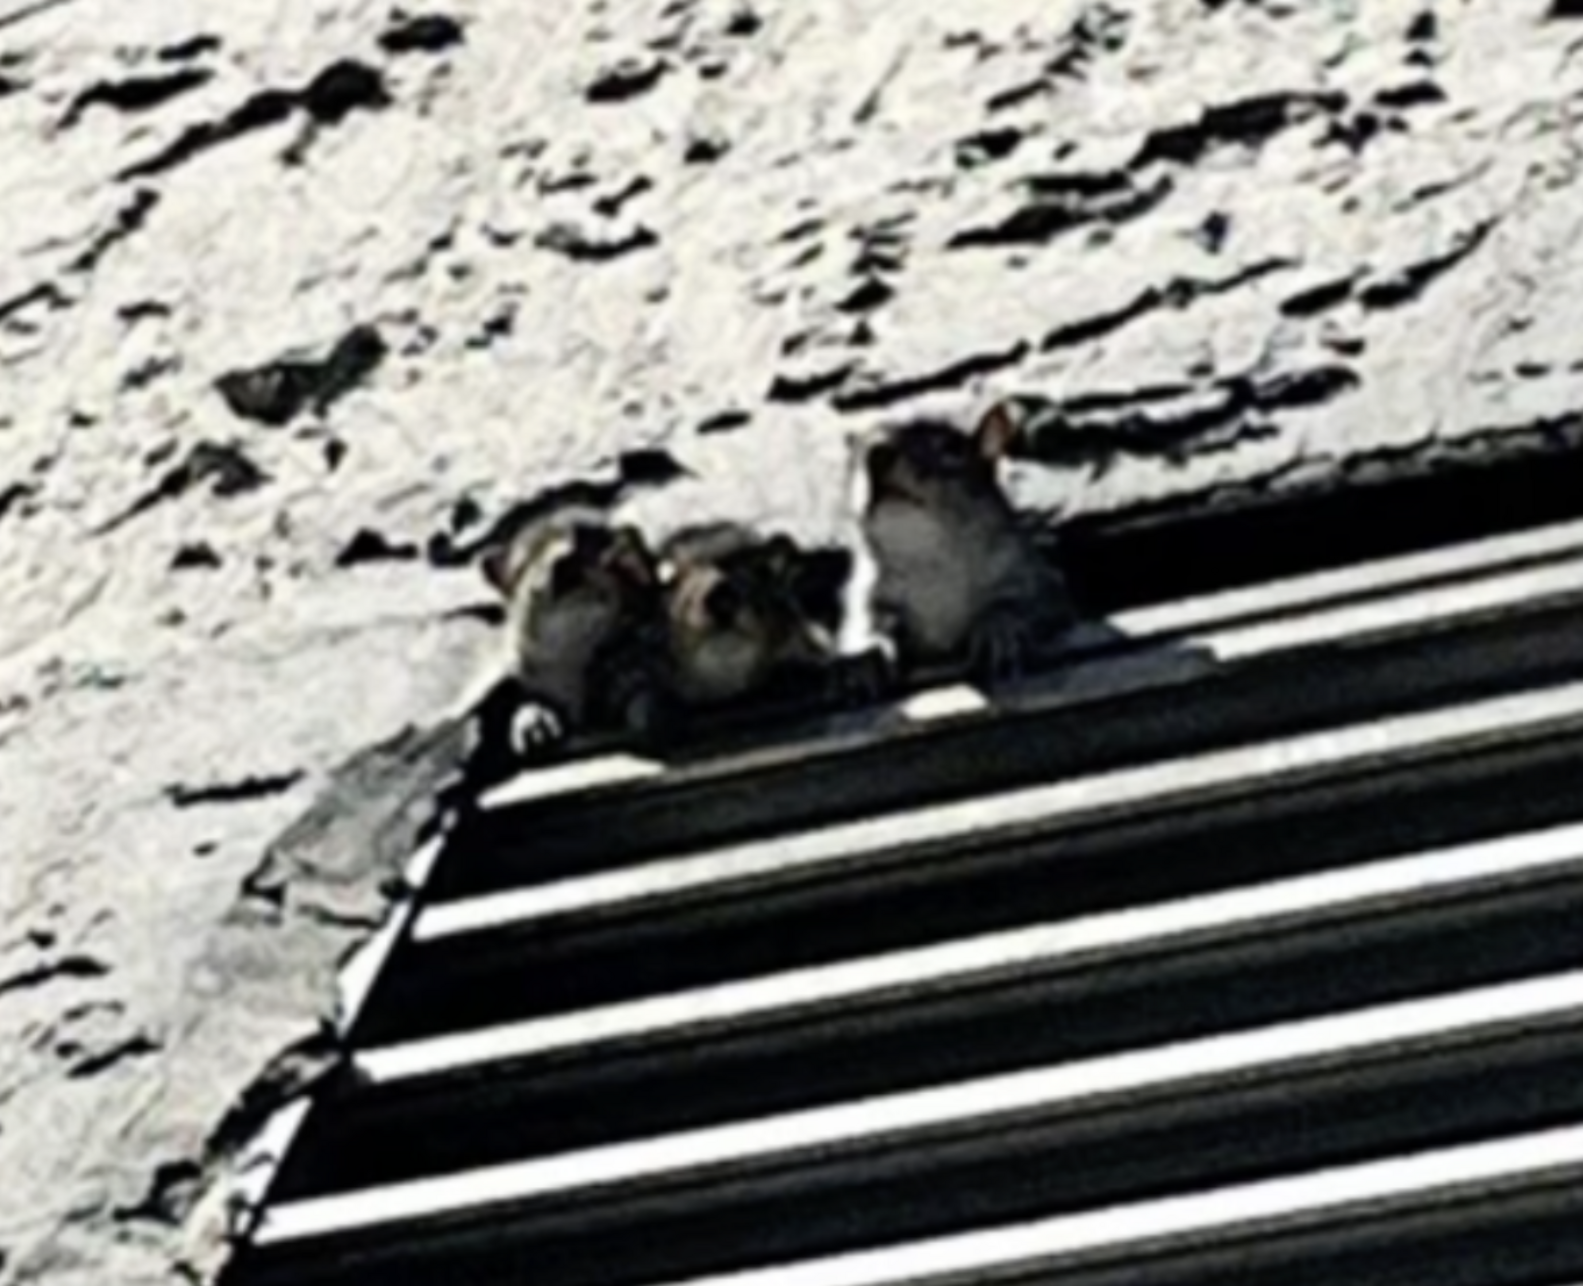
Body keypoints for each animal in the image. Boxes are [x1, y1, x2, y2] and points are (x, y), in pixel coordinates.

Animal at [844, 400, 1079, 685]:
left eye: (953, 449)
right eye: (862, 449)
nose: (876, 455)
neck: (929, 560)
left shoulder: (1035, 579)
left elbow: (1036, 607)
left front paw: (999, 627)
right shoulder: (869, 597)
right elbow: (868, 630)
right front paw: (863, 657)